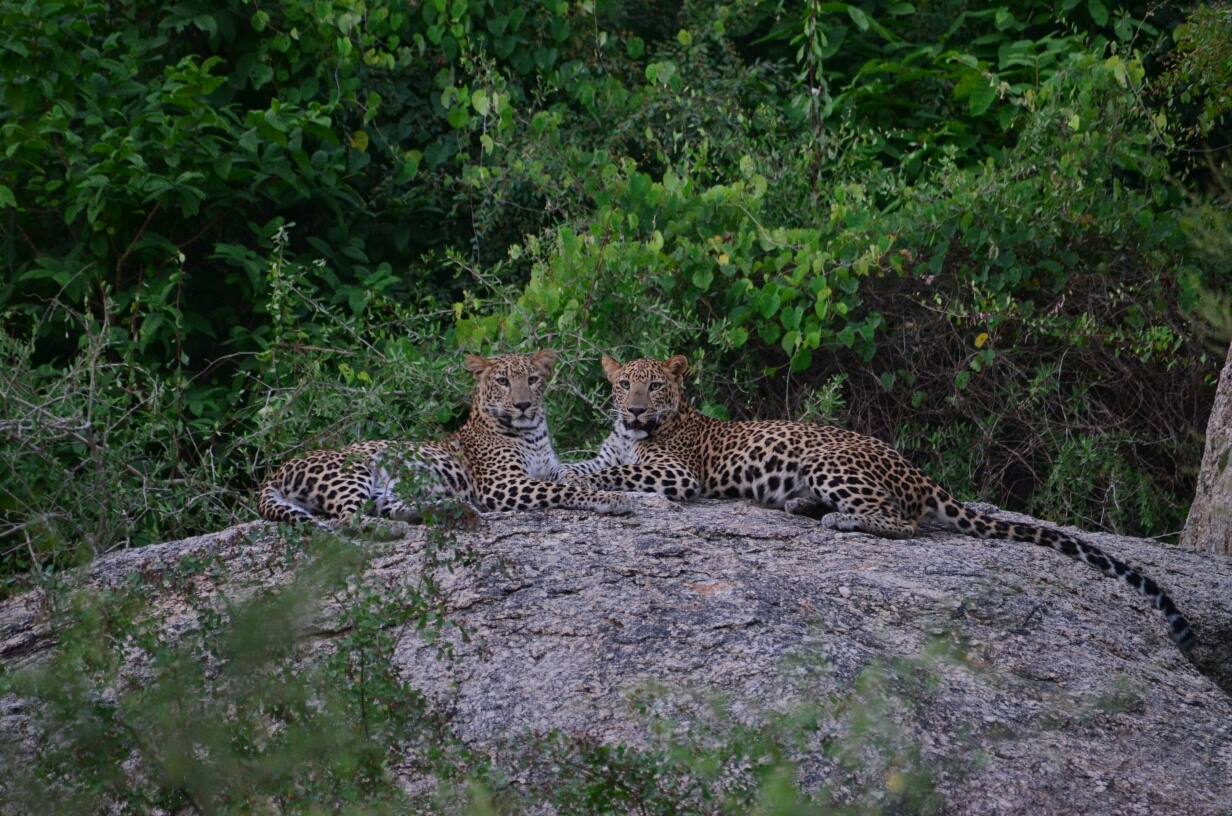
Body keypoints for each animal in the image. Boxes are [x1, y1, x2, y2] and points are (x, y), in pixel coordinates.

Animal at [257, 350, 632, 524]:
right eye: (502, 382)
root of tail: (275, 471)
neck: (532, 432)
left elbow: (569, 475)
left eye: (532, 379)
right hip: (352, 471)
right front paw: (610, 498)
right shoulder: (503, 485)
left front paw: (593, 483)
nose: (523, 404)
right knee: (348, 521)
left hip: (383, 490)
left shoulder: (549, 466)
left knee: (388, 509)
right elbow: (560, 490)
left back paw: (449, 508)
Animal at [566, 353, 1196, 650]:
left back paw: (838, 521)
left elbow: (617, 475)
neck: (636, 434)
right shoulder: (610, 452)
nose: (635, 410)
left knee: (903, 522)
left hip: (828, 461)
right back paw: (805, 508)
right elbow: (582, 467)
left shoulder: (675, 473)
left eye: (656, 386)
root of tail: (919, 471)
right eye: (623, 385)